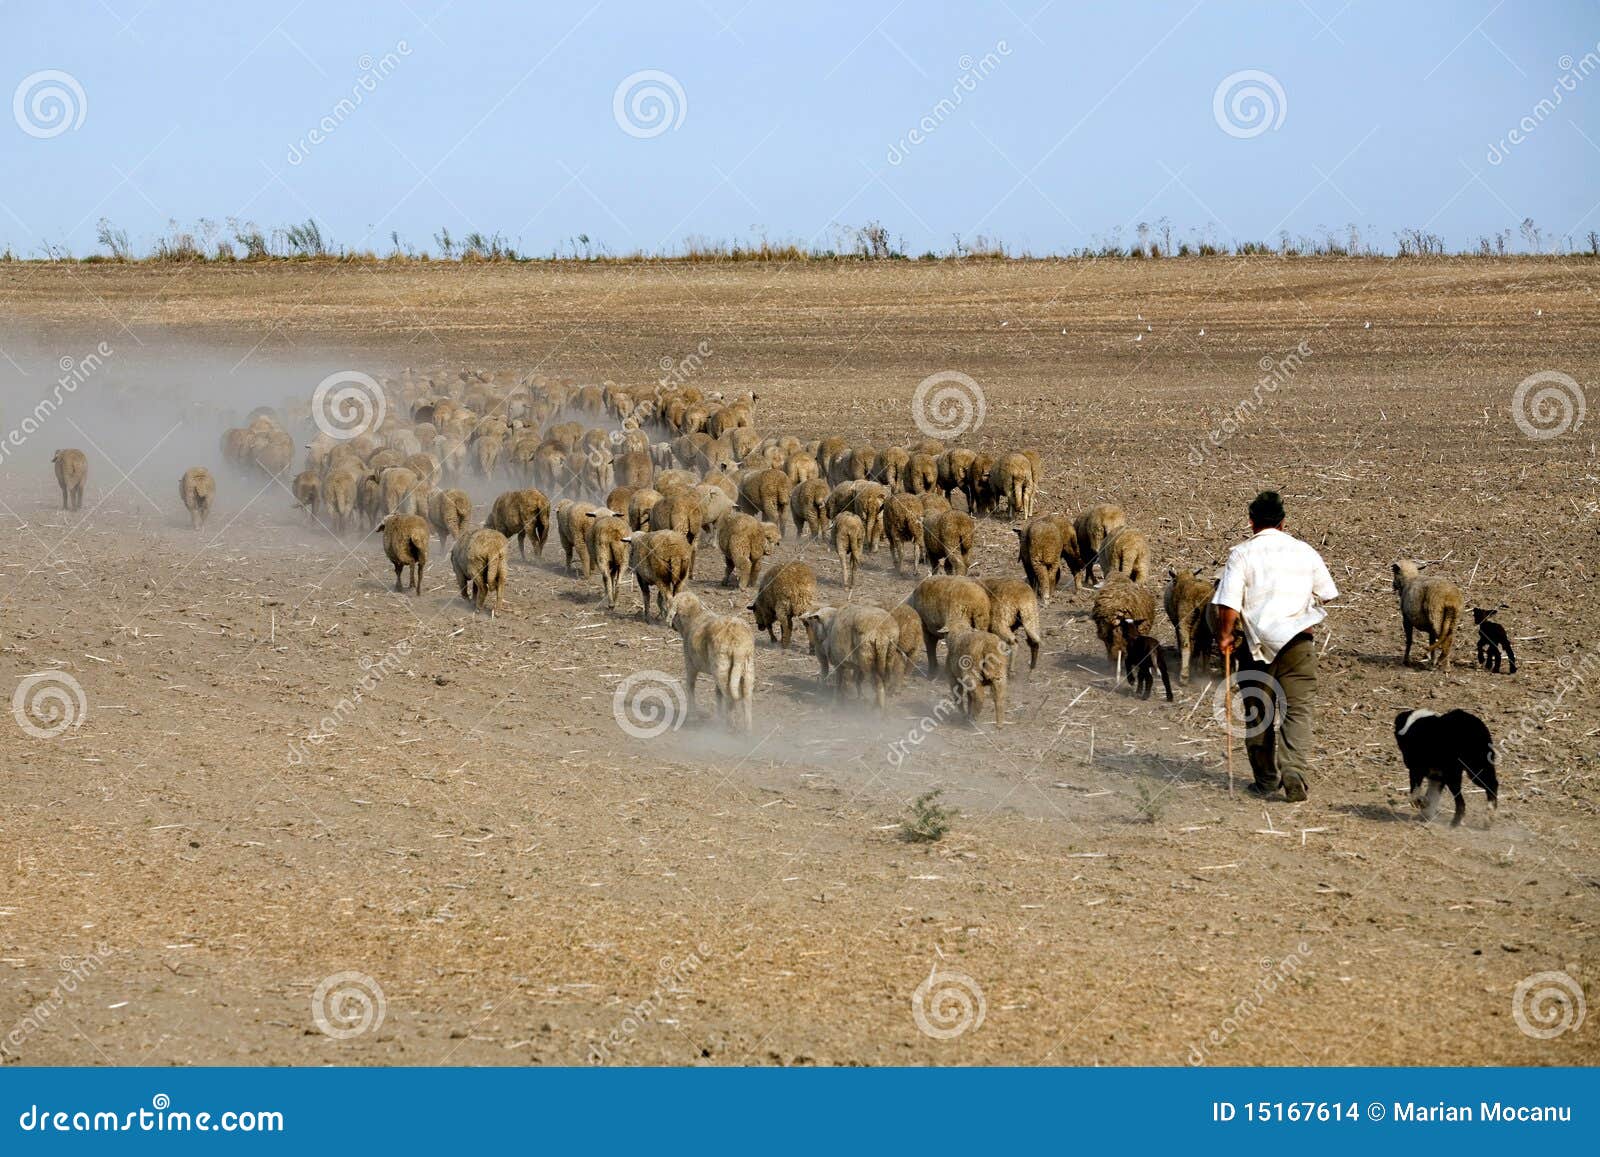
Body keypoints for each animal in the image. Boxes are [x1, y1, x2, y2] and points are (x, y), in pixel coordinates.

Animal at [665, 591, 755, 732]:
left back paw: (729, 727)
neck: (695, 614)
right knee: (746, 697)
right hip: (747, 665)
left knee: (730, 696)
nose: (672, 625)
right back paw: (747, 730)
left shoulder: (690, 662)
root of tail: (738, 645)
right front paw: (718, 716)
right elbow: (717, 692)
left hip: (721, 664)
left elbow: (690, 685)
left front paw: (692, 717)